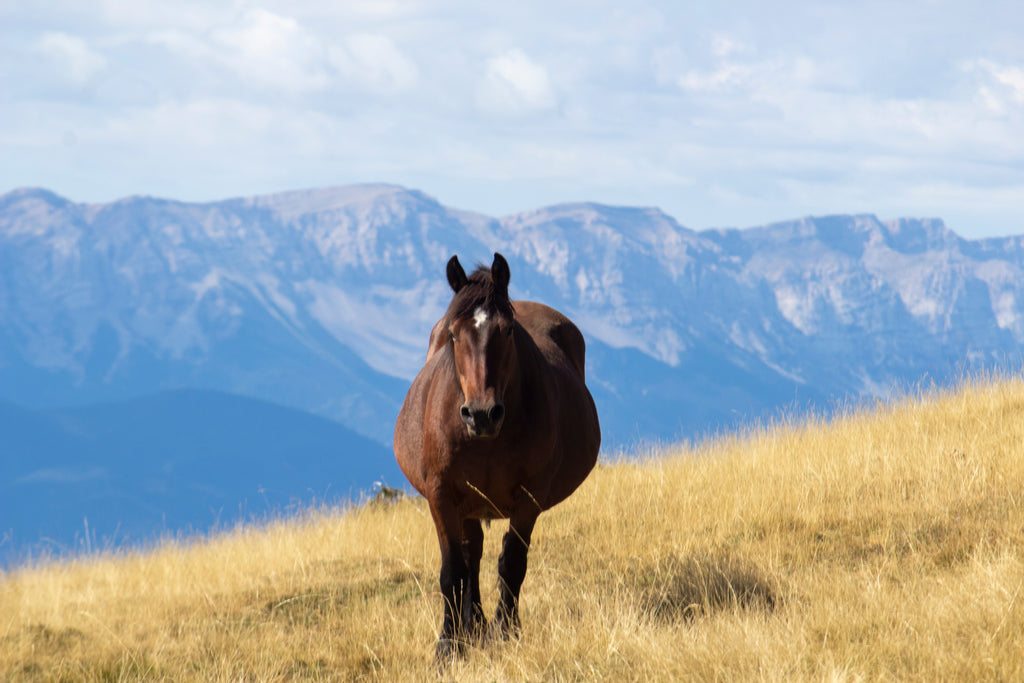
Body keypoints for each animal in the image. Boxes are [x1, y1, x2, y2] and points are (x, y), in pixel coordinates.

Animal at [394, 252, 601, 663]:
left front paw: (507, 632)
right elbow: (452, 571)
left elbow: (512, 563)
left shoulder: (529, 498)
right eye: (453, 335)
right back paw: (472, 625)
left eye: (506, 331)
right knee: (470, 557)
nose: (482, 414)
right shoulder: (442, 497)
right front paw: (449, 646)